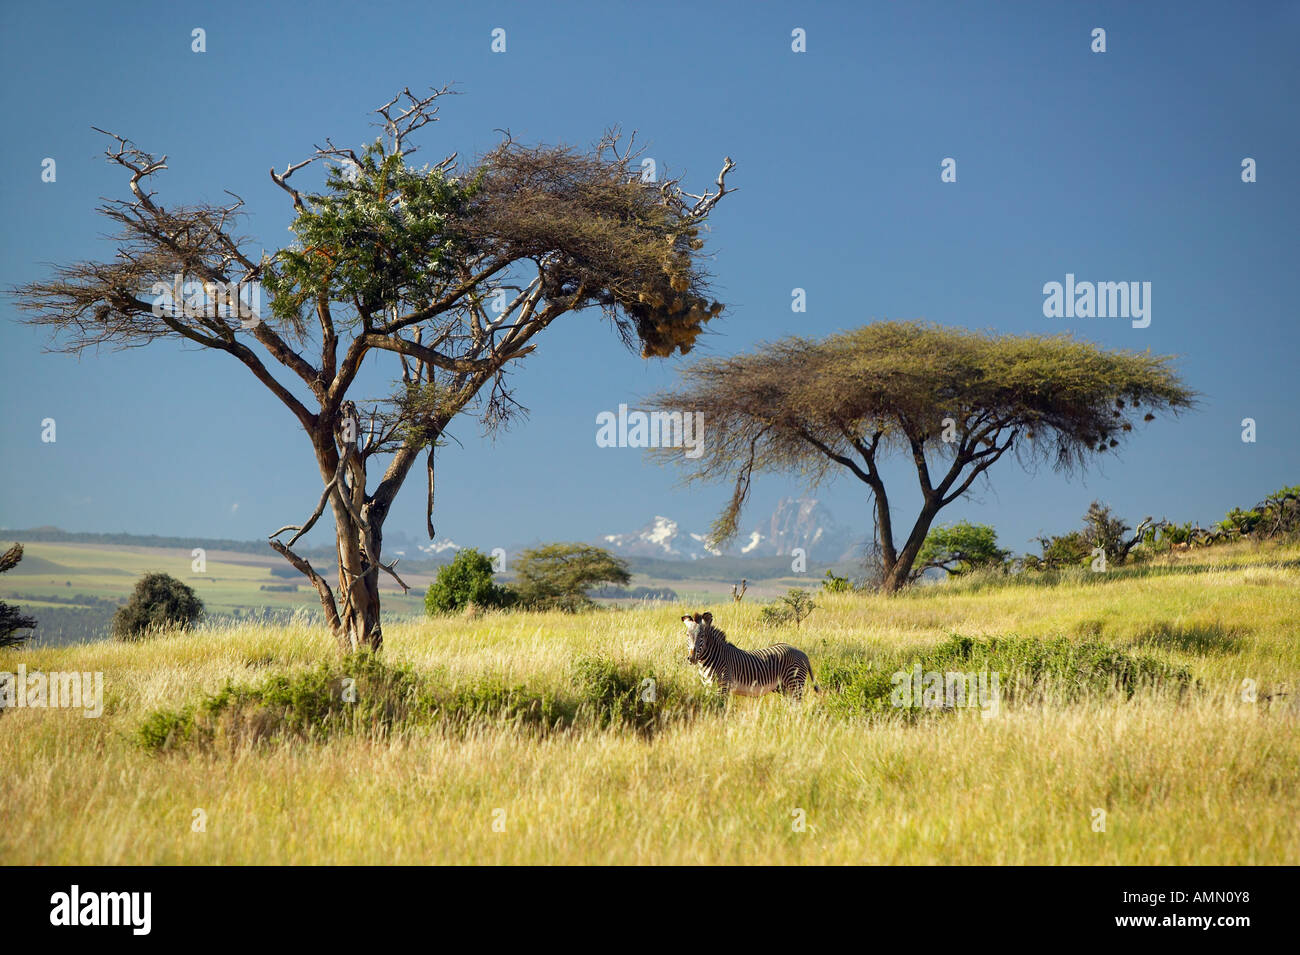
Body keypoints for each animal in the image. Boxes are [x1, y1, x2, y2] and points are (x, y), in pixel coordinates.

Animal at [680, 611, 819, 701]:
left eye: (702, 636)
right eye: (687, 635)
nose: (691, 658)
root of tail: (802, 653)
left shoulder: (723, 687)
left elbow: (720, 708)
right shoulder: (708, 687)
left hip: (795, 684)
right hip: (785, 688)